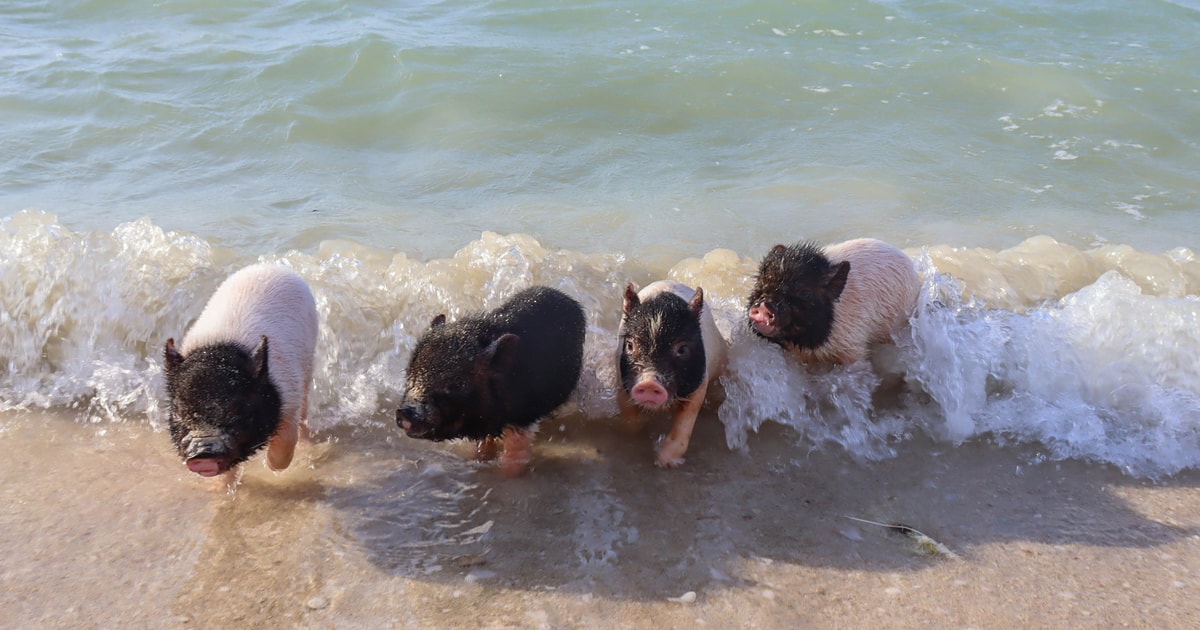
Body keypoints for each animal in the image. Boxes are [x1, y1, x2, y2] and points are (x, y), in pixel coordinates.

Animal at [163, 264, 318, 478]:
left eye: (237, 409)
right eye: (179, 410)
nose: (203, 453)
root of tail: (270, 266)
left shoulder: (290, 397)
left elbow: (285, 444)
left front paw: (272, 468)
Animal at [396, 286, 586, 476]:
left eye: (457, 384)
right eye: (411, 373)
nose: (406, 412)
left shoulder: (523, 418)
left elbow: (515, 454)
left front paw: (505, 475)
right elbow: (484, 445)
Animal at [617, 280, 727, 468]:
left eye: (682, 349)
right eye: (630, 345)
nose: (649, 383)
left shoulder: (700, 383)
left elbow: (685, 420)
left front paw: (663, 462)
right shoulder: (622, 380)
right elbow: (630, 420)